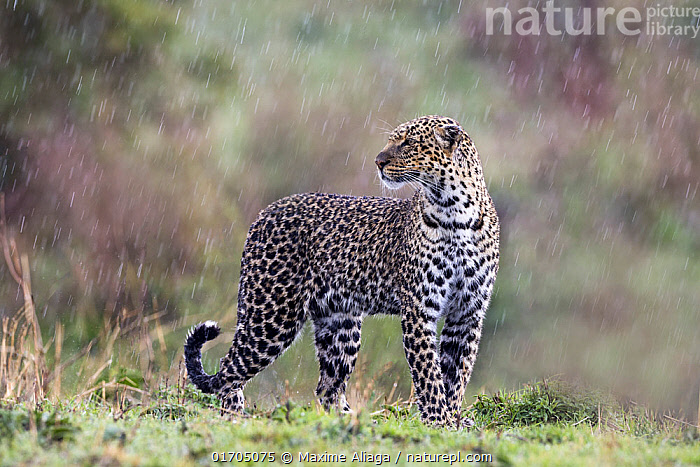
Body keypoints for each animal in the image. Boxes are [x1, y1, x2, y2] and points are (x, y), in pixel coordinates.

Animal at [184, 115, 500, 426]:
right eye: (391, 140)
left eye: (408, 143)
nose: (378, 161)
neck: (454, 210)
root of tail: (263, 214)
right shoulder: (420, 309)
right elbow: (429, 374)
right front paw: (438, 421)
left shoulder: (467, 311)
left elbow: (456, 373)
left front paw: (453, 422)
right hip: (272, 315)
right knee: (229, 369)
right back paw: (235, 418)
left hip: (339, 322)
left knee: (327, 386)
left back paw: (355, 421)